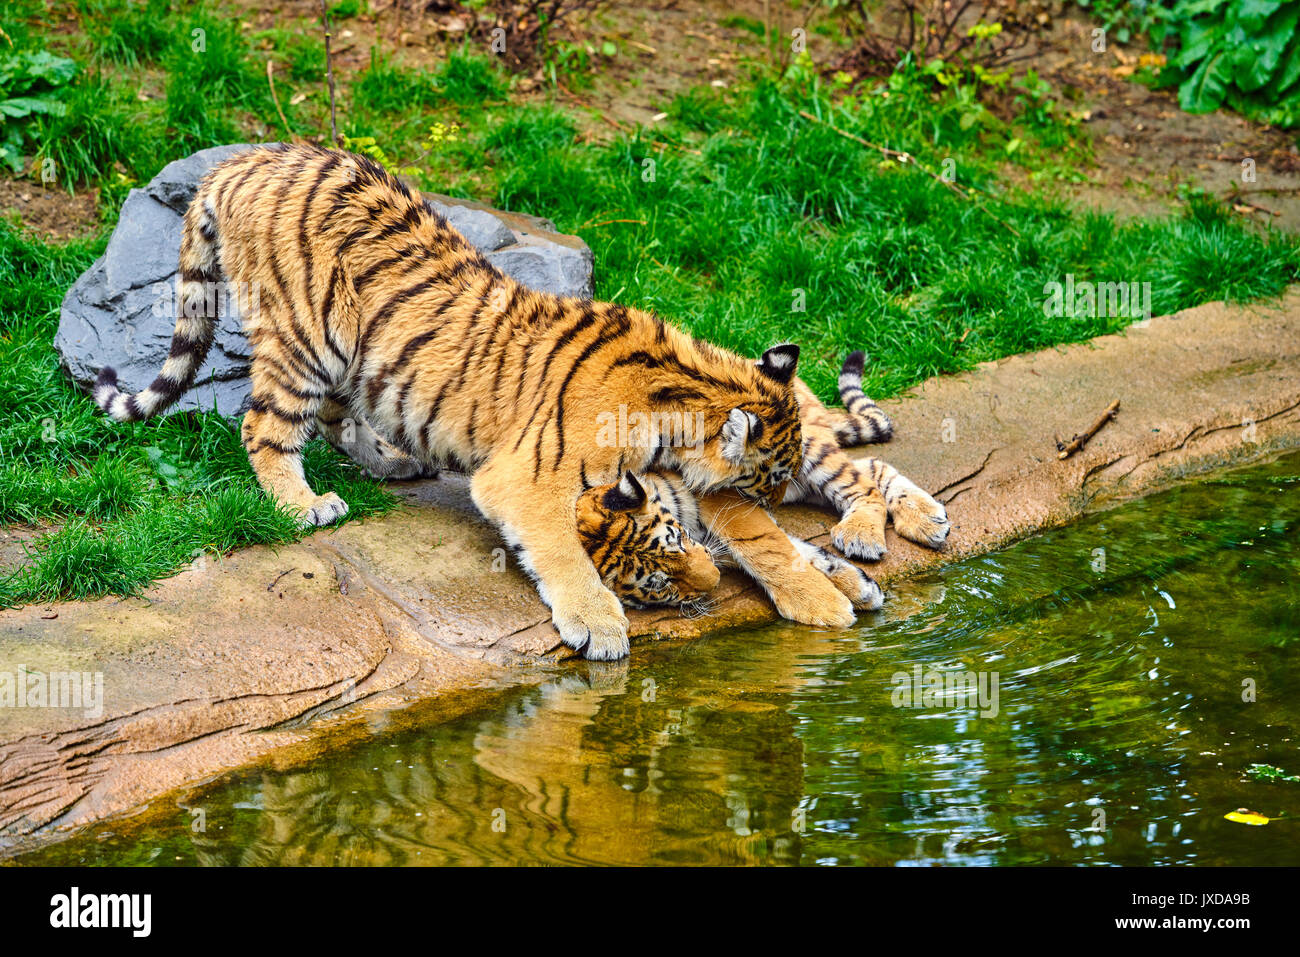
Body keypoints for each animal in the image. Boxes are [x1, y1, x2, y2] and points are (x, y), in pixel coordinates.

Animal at [90, 143, 806, 661]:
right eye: (770, 476)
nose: (779, 504)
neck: (684, 389)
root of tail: (244, 161)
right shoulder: (528, 479)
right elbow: (564, 553)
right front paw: (600, 627)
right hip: (305, 337)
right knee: (266, 424)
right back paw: (303, 505)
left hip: (351, 355)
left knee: (333, 415)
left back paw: (393, 461)